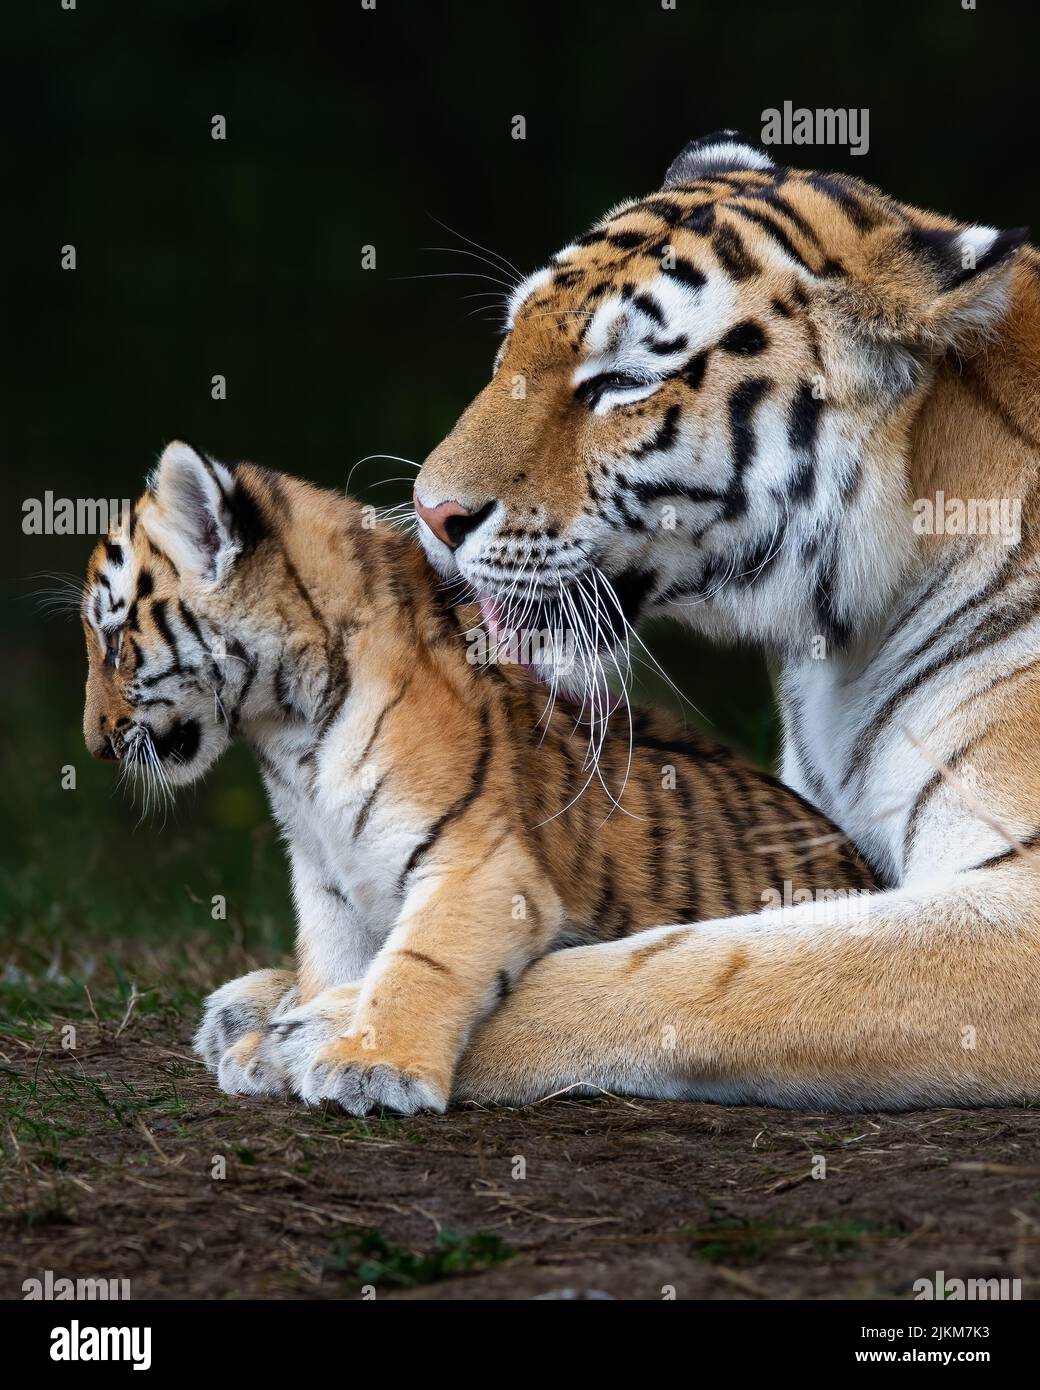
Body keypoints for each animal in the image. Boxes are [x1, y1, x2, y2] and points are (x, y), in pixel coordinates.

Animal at [81, 440, 875, 1115]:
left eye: (115, 642)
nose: (95, 746)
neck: (285, 733)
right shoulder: (325, 876)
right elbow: (331, 958)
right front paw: (285, 1041)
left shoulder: (478, 864)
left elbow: (416, 963)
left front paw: (372, 1068)